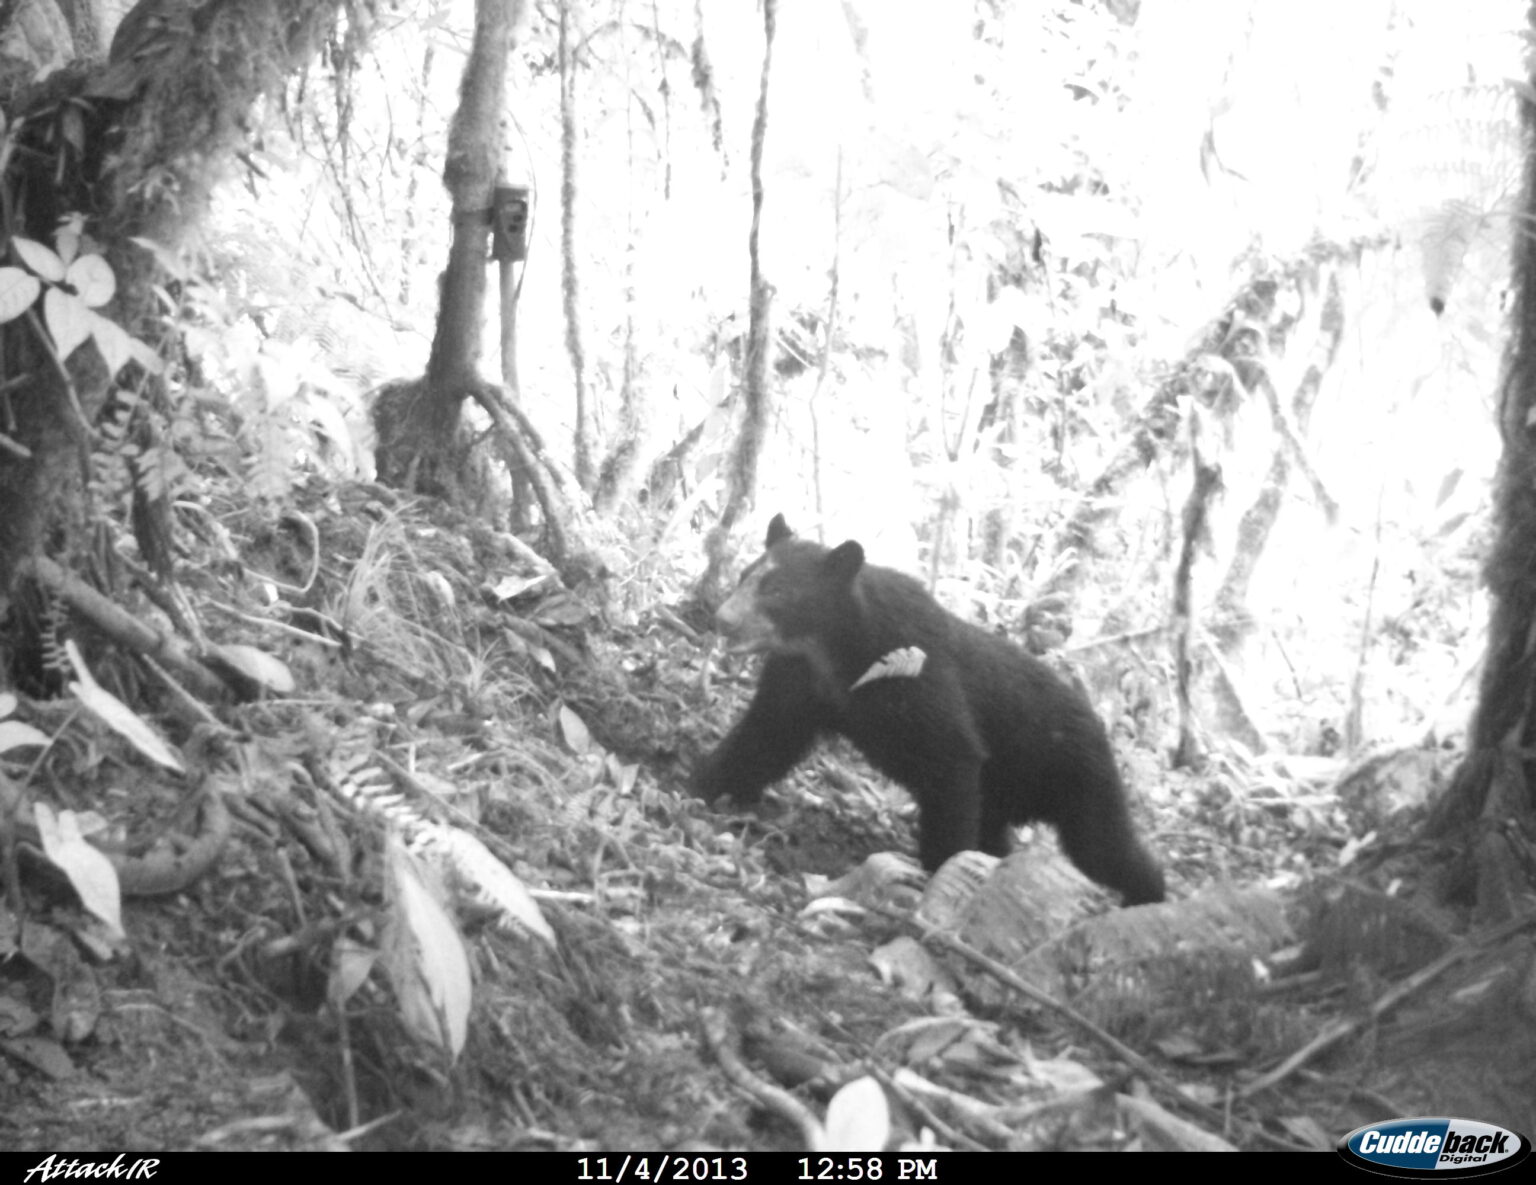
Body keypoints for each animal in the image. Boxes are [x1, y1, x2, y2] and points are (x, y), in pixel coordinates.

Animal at [692, 514, 1166, 905]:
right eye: (745, 576)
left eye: (778, 591)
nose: (723, 619)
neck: (832, 650)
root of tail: (1100, 725)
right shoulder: (801, 680)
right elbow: (766, 735)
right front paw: (703, 782)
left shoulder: (918, 675)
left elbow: (950, 757)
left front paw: (938, 870)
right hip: (1007, 791)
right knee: (1003, 833)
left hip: (1075, 779)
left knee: (1104, 846)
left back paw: (1148, 895)